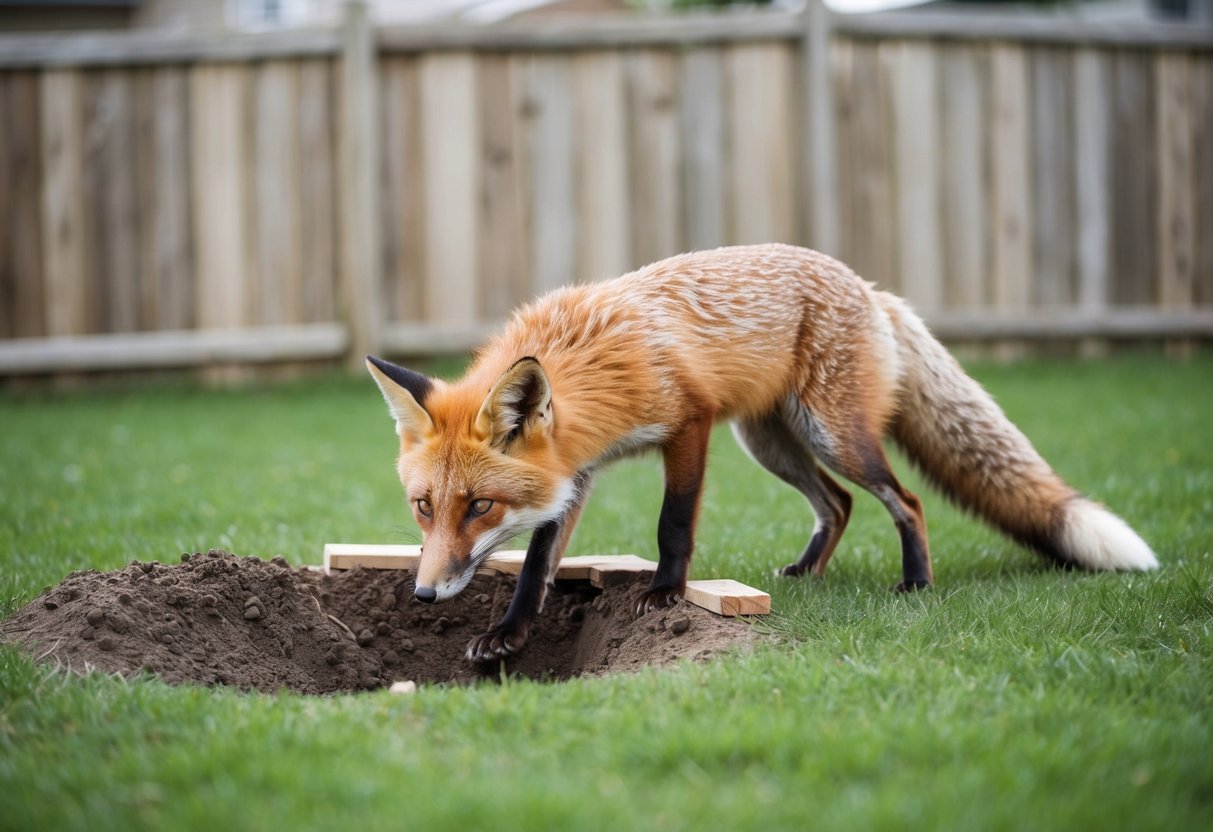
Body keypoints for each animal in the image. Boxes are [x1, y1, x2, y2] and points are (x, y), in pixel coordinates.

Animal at [366, 243, 1158, 662]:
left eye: (479, 506)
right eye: (423, 508)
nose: (423, 595)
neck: (594, 358)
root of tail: (868, 286)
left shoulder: (689, 424)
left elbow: (672, 524)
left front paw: (664, 593)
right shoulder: (575, 473)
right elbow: (536, 566)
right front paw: (506, 633)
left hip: (832, 435)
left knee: (903, 499)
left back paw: (915, 582)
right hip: (771, 443)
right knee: (838, 505)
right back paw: (807, 572)